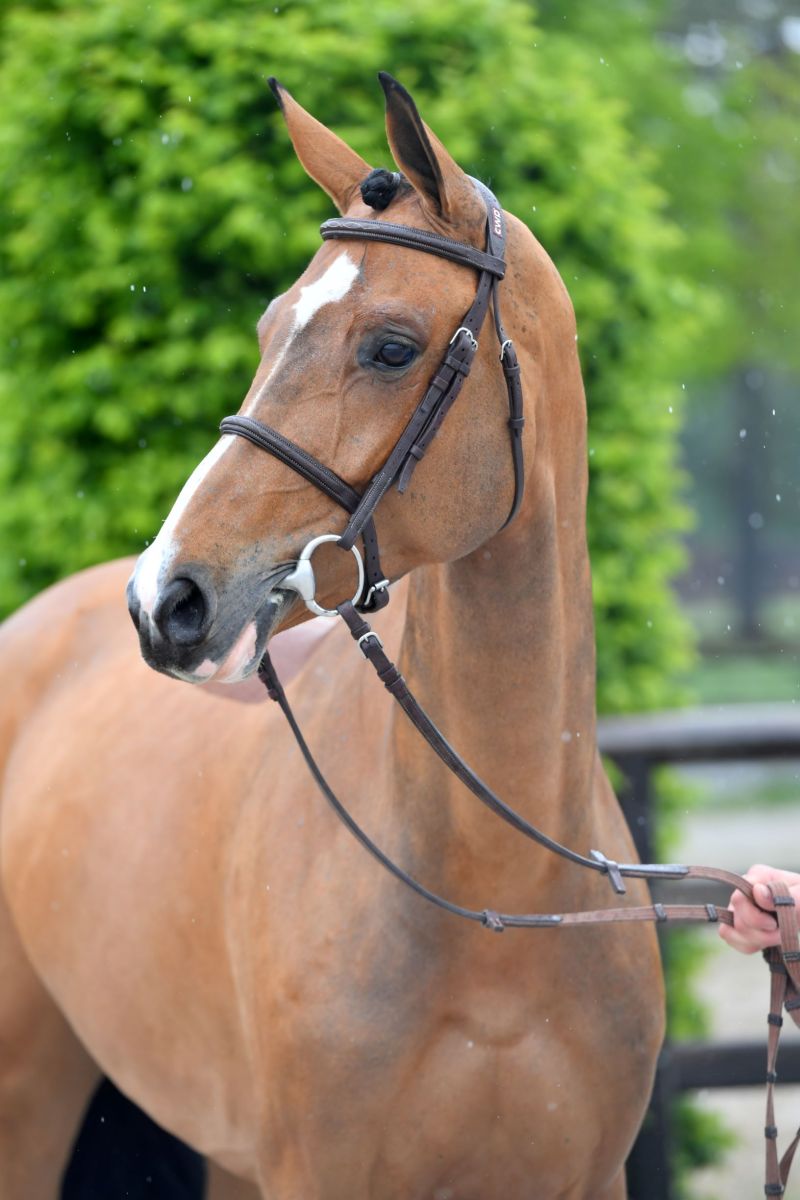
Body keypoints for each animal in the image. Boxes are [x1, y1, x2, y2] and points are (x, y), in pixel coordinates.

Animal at [0, 74, 663, 1198]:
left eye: (389, 347)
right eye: (271, 327)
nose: (164, 599)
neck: (497, 891)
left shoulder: (584, 1177)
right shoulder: (315, 1173)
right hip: (30, 1093)